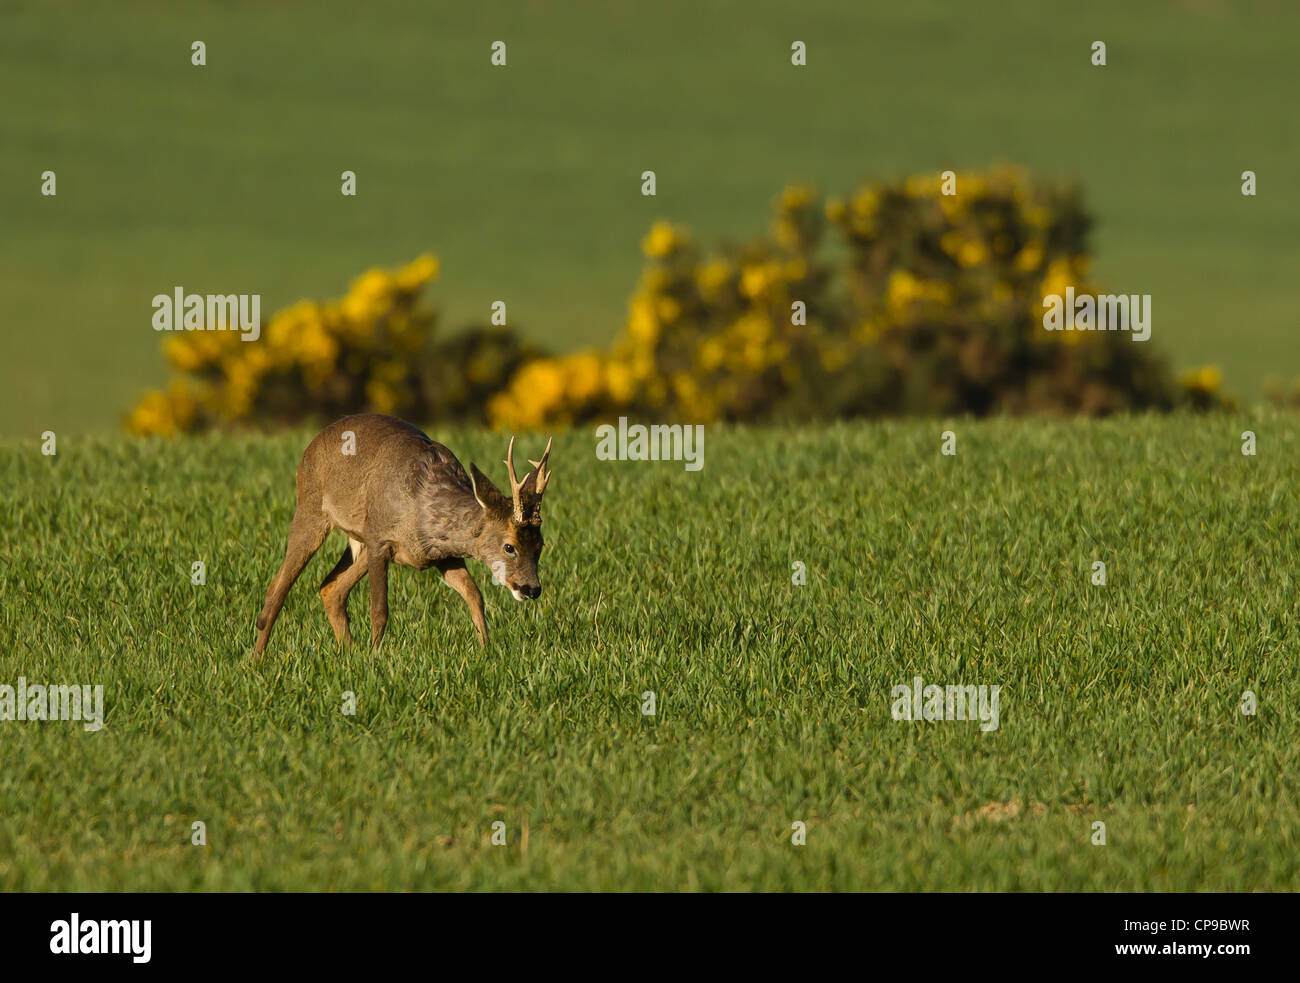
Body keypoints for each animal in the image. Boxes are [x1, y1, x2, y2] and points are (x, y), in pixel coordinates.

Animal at [252, 413, 552, 657]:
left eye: (540, 545)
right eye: (509, 547)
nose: (531, 589)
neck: (423, 509)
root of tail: (312, 443)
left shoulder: (444, 555)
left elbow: (474, 595)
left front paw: (486, 649)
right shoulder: (379, 540)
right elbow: (379, 610)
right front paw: (375, 658)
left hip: (358, 540)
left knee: (330, 588)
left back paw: (349, 652)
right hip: (312, 508)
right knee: (279, 586)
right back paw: (257, 660)